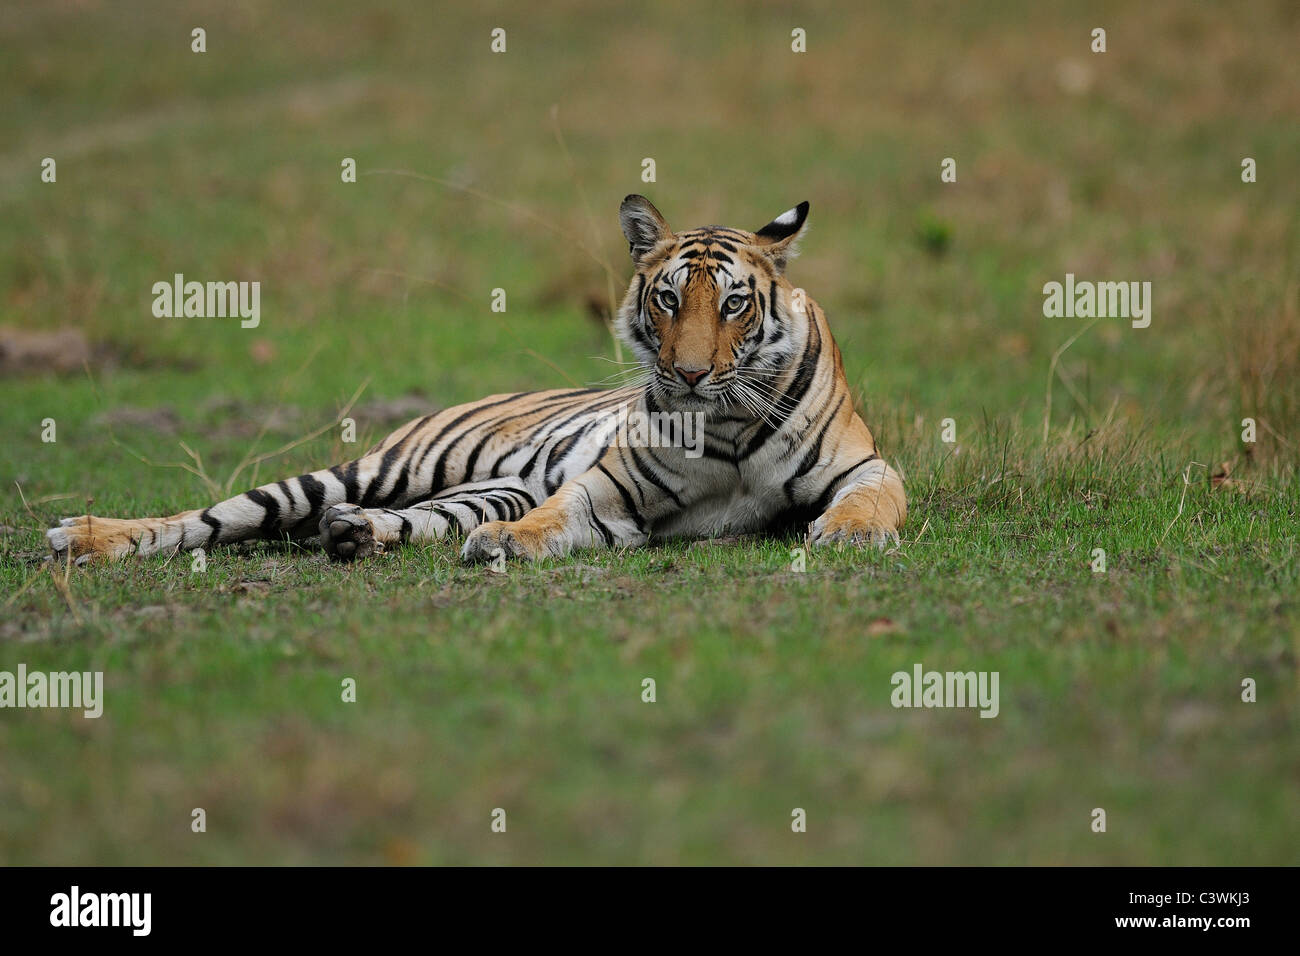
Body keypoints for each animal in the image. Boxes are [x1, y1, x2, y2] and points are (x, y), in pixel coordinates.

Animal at [46, 195, 906, 566]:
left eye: (733, 303)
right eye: (668, 299)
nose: (691, 374)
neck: (721, 424)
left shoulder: (865, 464)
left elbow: (872, 499)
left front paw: (848, 534)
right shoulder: (612, 491)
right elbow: (559, 514)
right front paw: (505, 546)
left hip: (474, 488)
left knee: (403, 519)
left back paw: (354, 534)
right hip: (372, 467)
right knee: (213, 517)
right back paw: (84, 537)